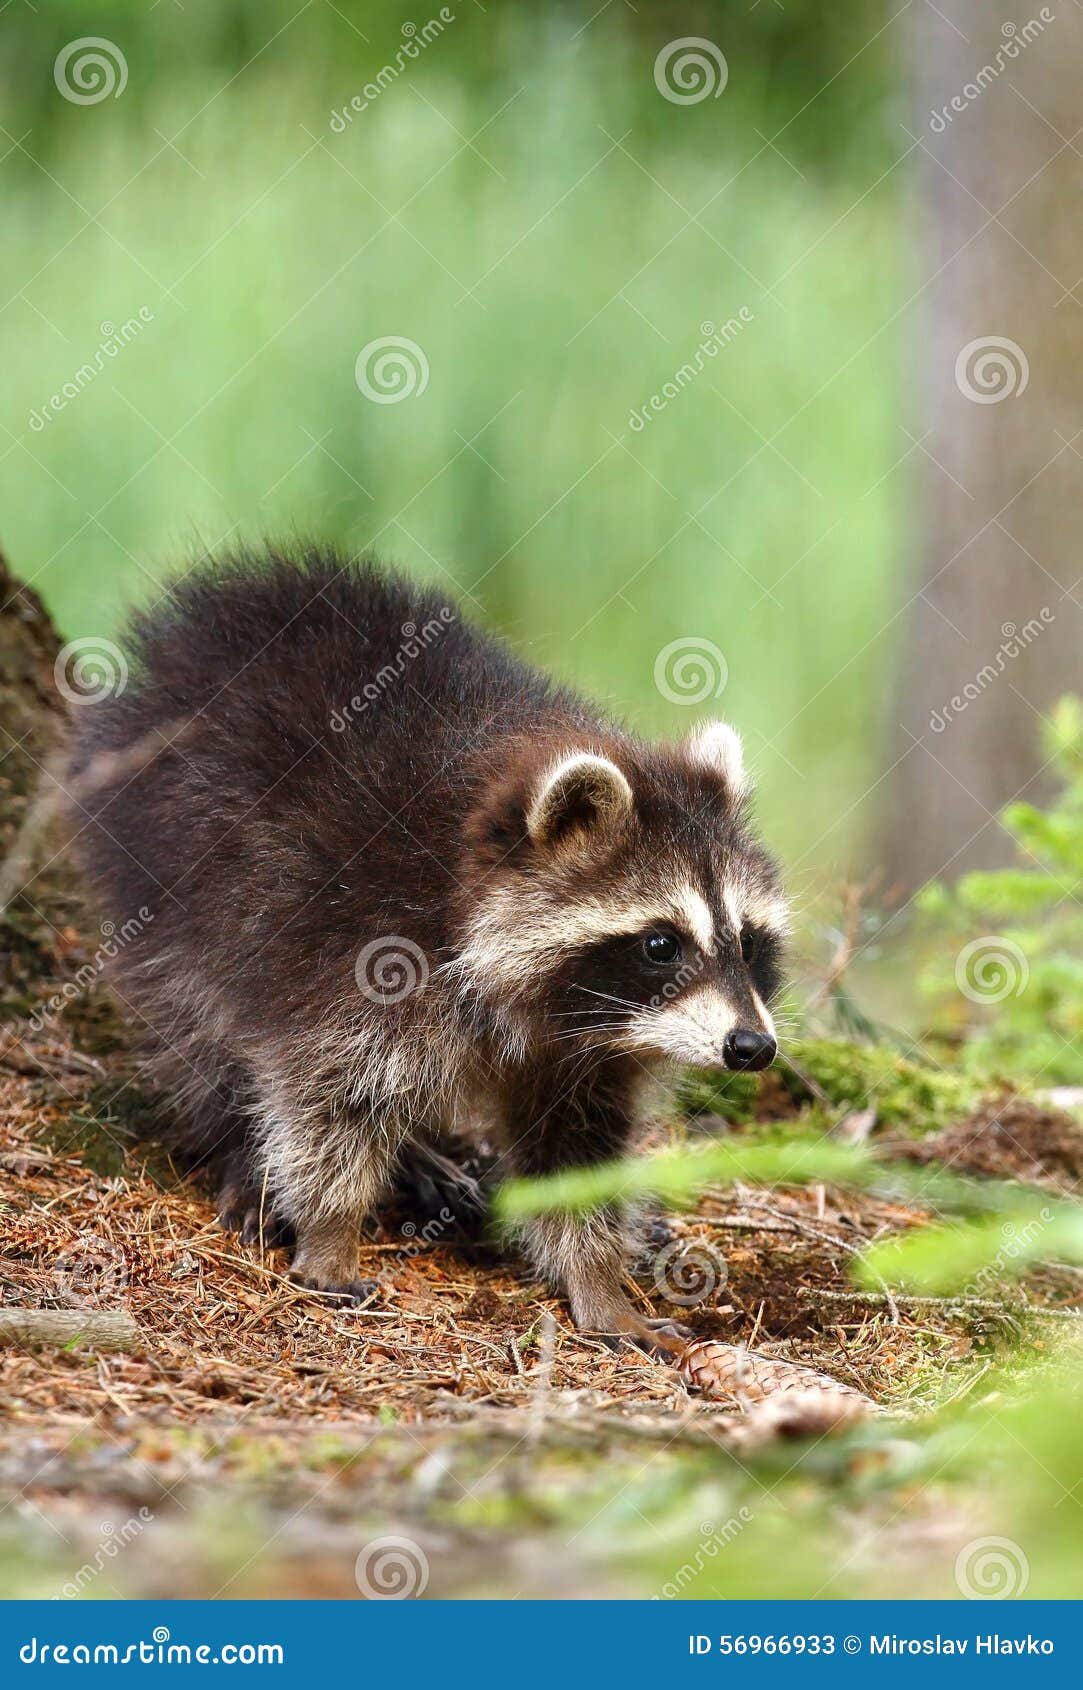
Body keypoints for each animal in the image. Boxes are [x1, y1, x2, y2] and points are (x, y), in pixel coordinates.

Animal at [68, 544, 787, 1345]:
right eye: (661, 945)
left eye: (747, 942)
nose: (752, 1047)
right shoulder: (363, 946)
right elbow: (327, 1097)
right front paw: (330, 1231)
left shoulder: (587, 1051)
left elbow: (576, 1146)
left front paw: (597, 1280)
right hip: (169, 868)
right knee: (194, 1018)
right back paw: (237, 1143)